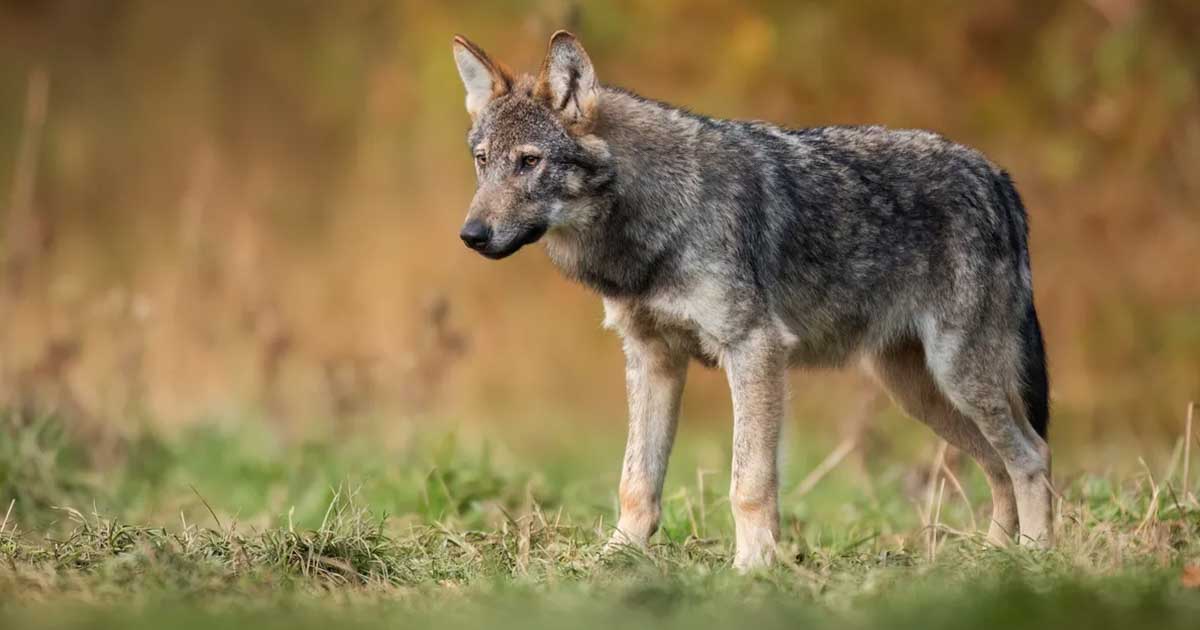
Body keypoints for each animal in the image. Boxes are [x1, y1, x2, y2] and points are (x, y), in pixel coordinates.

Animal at [451, 31, 1052, 570]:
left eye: (529, 162)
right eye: (482, 160)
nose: (471, 235)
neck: (657, 220)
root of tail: (997, 177)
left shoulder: (755, 351)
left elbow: (750, 482)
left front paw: (752, 568)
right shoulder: (652, 359)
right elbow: (636, 481)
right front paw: (613, 559)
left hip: (959, 379)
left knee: (1031, 457)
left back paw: (1033, 557)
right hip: (920, 393)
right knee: (999, 466)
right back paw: (993, 559)